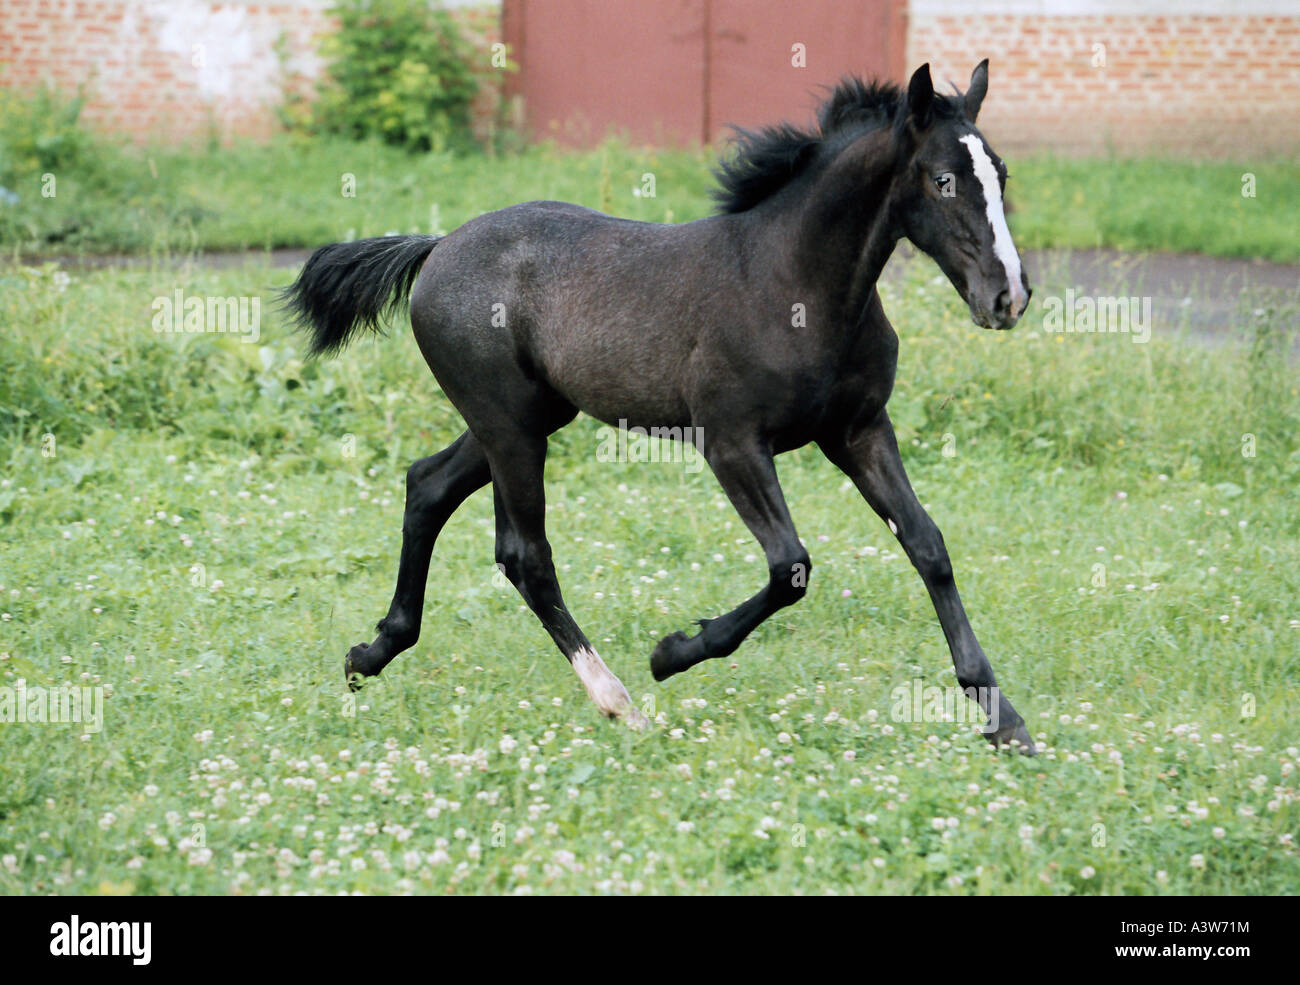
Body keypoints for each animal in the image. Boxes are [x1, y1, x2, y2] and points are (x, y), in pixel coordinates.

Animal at [281, 61, 1037, 753]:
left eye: (1001, 175)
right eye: (943, 180)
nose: (1009, 296)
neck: (794, 286)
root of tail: (437, 247)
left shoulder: (858, 431)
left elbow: (929, 546)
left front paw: (1004, 719)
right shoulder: (731, 442)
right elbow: (789, 566)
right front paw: (673, 651)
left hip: (525, 419)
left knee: (428, 485)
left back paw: (371, 653)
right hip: (509, 425)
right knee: (525, 553)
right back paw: (619, 701)